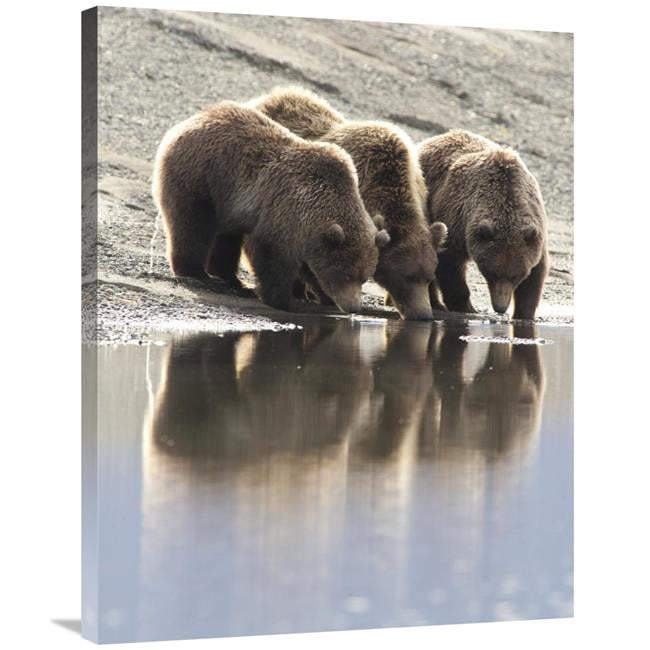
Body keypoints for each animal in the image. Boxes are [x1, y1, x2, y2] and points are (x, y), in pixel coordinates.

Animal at [151, 101, 390, 313]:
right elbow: (273, 258)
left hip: (226, 201)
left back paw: (233, 281)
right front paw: (281, 299)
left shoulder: (309, 236)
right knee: (193, 226)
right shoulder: (284, 216)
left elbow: (311, 268)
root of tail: (190, 121)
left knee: (226, 238)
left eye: (364, 276)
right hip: (203, 176)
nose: (354, 307)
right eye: (347, 274)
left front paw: (323, 297)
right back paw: (196, 272)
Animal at [418, 129, 549, 320]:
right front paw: (467, 307)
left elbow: (537, 273)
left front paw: (523, 314)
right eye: (492, 273)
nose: (500, 307)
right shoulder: (457, 220)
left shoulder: (535, 230)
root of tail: (436, 138)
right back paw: (435, 302)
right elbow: (449, 263)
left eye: (516, 276)